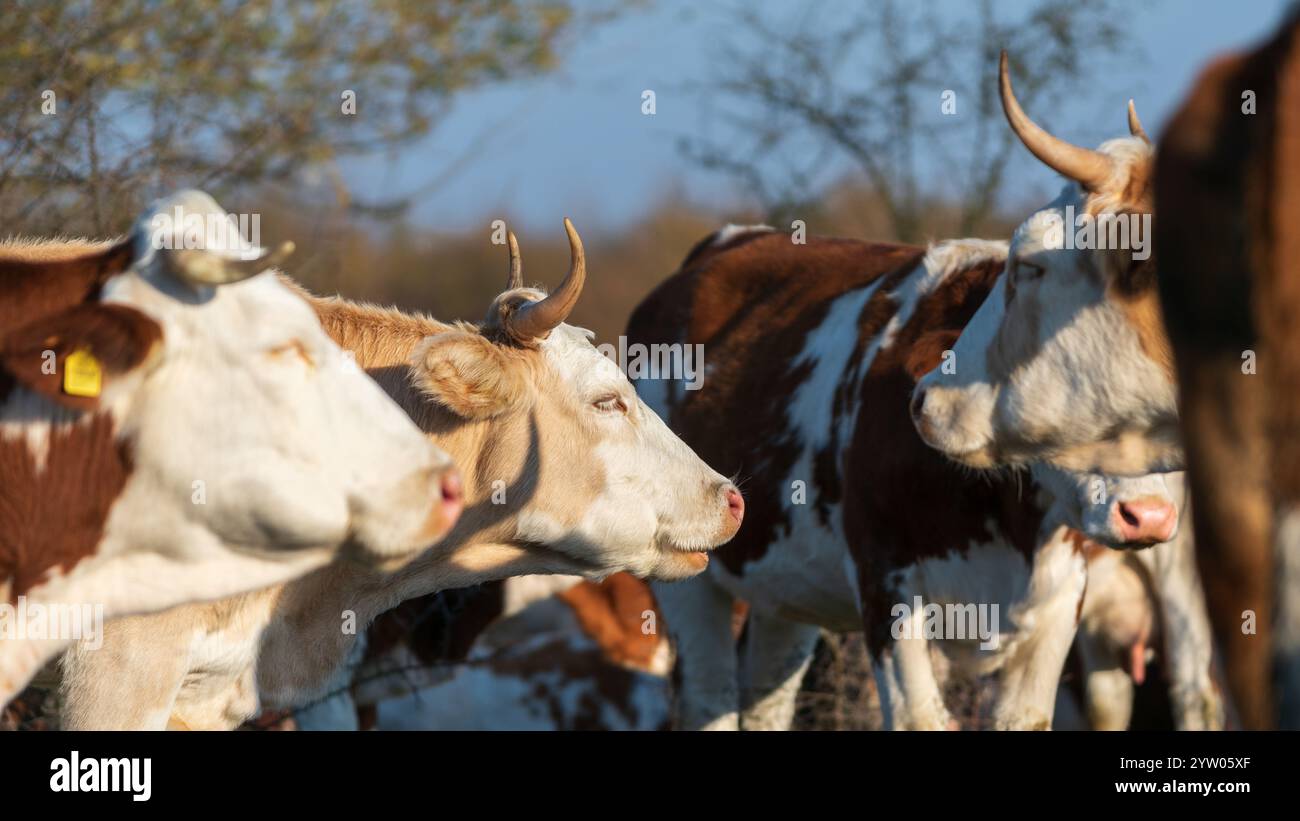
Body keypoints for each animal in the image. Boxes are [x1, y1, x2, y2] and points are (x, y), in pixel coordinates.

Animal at [626, 226, 1201, 730]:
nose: (1149, 517)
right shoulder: (886, 582)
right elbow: (918, 717)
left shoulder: (1060, 601)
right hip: (689, 577)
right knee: (709, 699)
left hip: (781, 588)